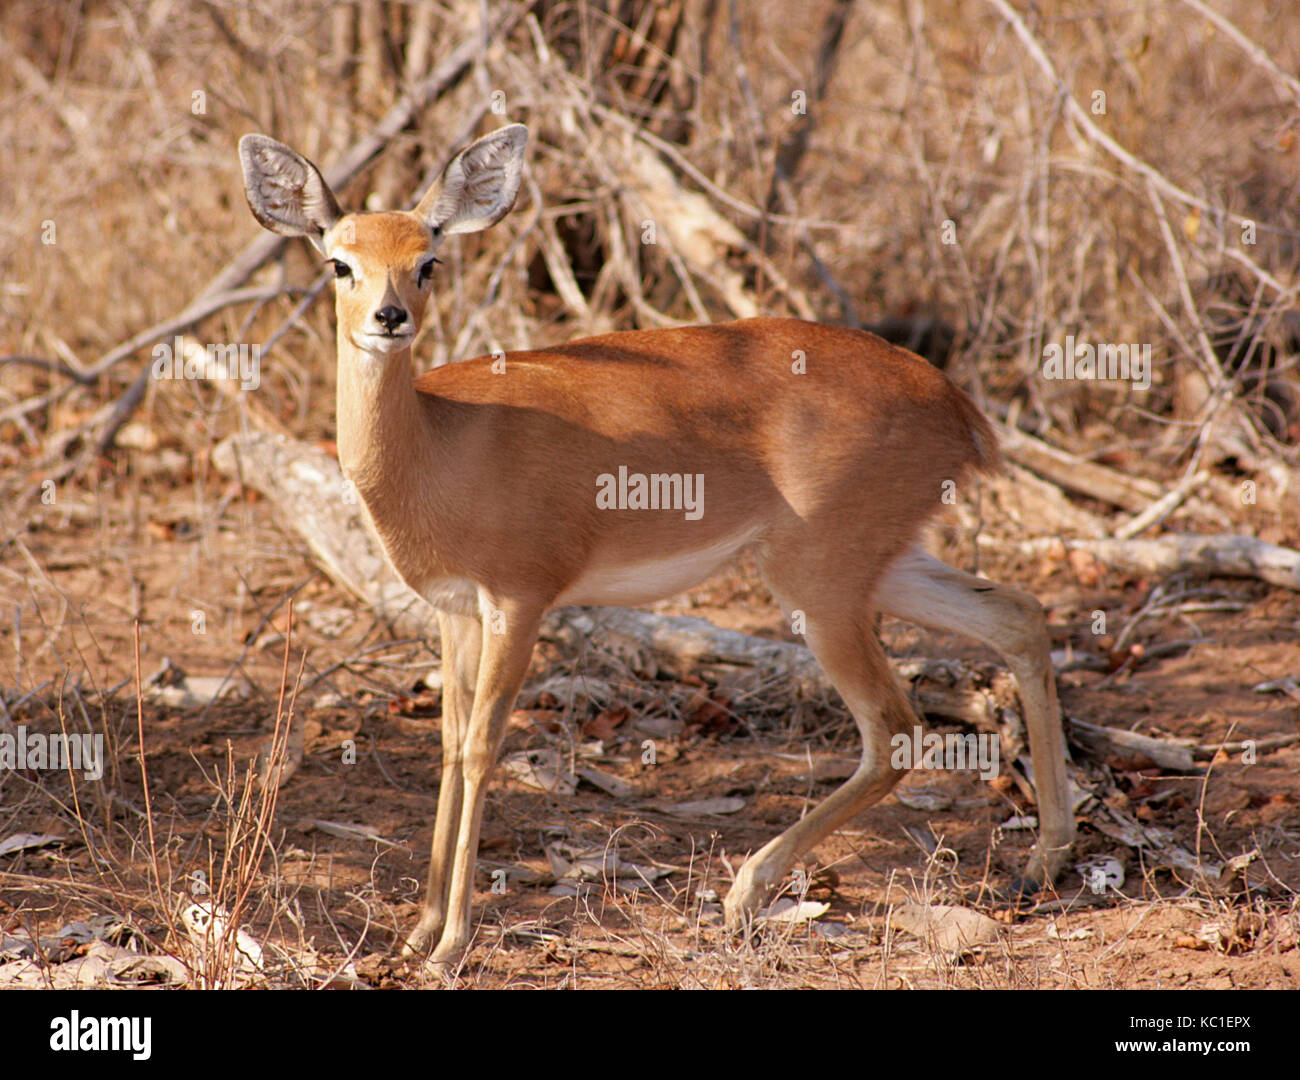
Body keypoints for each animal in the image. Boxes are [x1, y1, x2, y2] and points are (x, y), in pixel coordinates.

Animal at [238, 123, 1075, 966]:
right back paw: (1043, 862)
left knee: (896, 726)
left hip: (819, 583)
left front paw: (450, 945)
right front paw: (417, 930)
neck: (439, 445)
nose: (388, 317)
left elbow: (480, 748)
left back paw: (745, 894)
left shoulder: (519, 600)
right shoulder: (455, 611)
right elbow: (447, 743)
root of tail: (961, 408)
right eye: (339, 261)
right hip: (884, 564)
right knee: (1018, 617)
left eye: (428, 260)